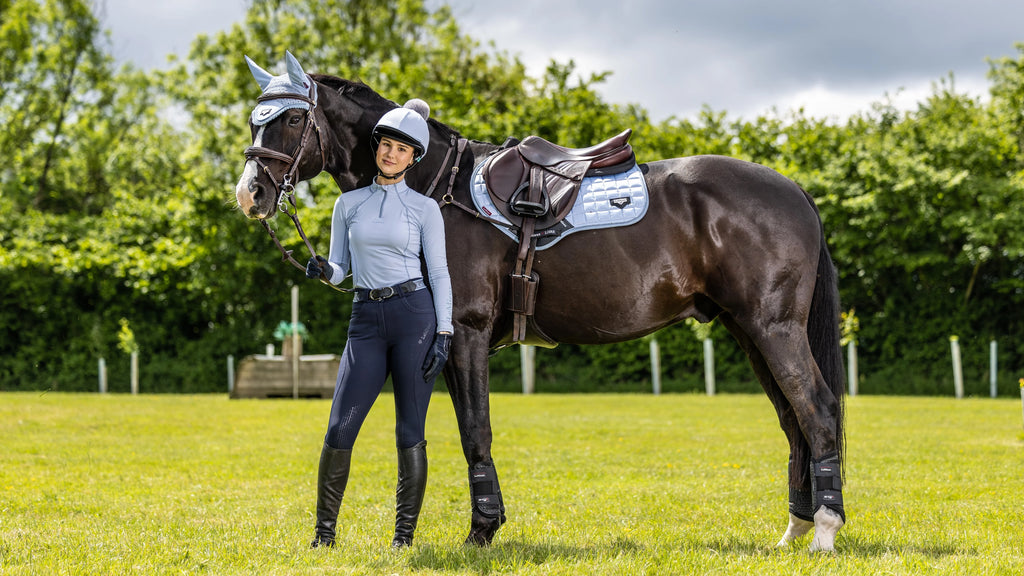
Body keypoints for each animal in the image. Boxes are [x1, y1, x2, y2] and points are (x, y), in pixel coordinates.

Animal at [234, 54, 847, 552]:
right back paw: (795, 527)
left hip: (774, 328)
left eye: (293, 119)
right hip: (750, 331)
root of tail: (794, 190)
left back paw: (823, 529)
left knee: (817, 409)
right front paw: (487, 524)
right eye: (254, 120)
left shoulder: (466, 333)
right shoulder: (446, 346)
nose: (250, 193)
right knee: (792, 418)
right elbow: (465, 430)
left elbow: (475, 430)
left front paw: (482, 531)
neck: (433, 185)